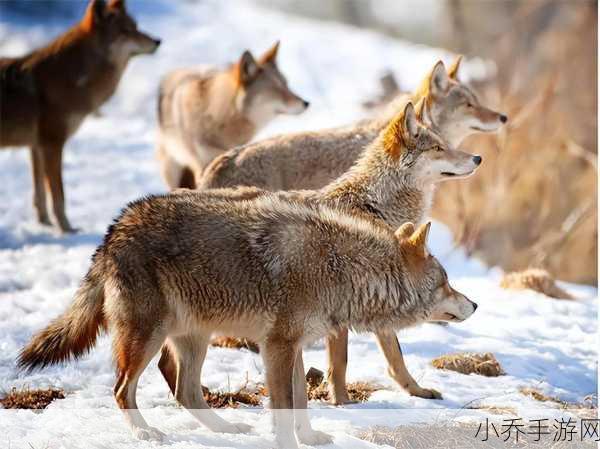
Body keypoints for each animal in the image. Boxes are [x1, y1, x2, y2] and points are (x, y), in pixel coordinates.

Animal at [0, 0, 159, 231]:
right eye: (126, 31)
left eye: (136, 27)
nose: (158, 41)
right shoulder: (52, 144)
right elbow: (58, 194)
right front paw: (66, 229)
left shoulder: (36, 146)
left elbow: (40, 194)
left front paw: (44, 224)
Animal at [18, 188, 476, 444]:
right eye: (447, 281)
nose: (474, 304)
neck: (340, 267)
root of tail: (113, 230)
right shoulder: (276, 346)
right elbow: (284, 407)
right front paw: (289, 443)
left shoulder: (293, 348)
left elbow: (301, 403)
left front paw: (311, 439)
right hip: (148, 337)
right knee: (121, 391)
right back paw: (146, 434)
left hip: (194, 338)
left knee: (185, 393)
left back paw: (226, 431)